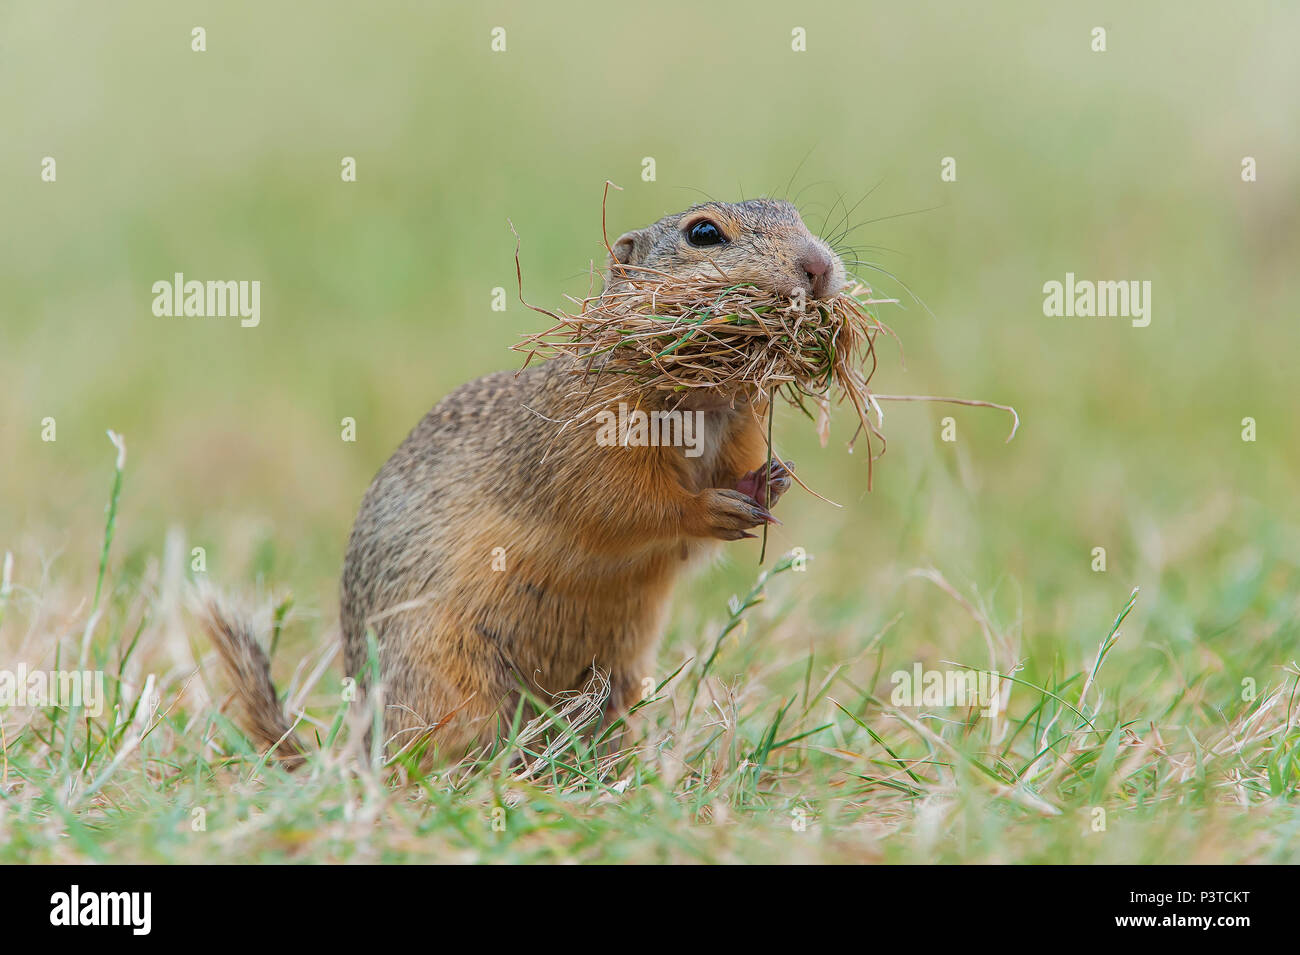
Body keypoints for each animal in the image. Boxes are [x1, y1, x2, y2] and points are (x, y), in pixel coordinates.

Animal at [203, 199, 846, 766]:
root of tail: (358, 751)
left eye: (794, 211)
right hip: (453, 681)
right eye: (704, 233)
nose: (818, 267)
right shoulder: (586, 440)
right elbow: (627, 506)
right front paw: (713, 508)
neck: (701, 408)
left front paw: (772, 481)